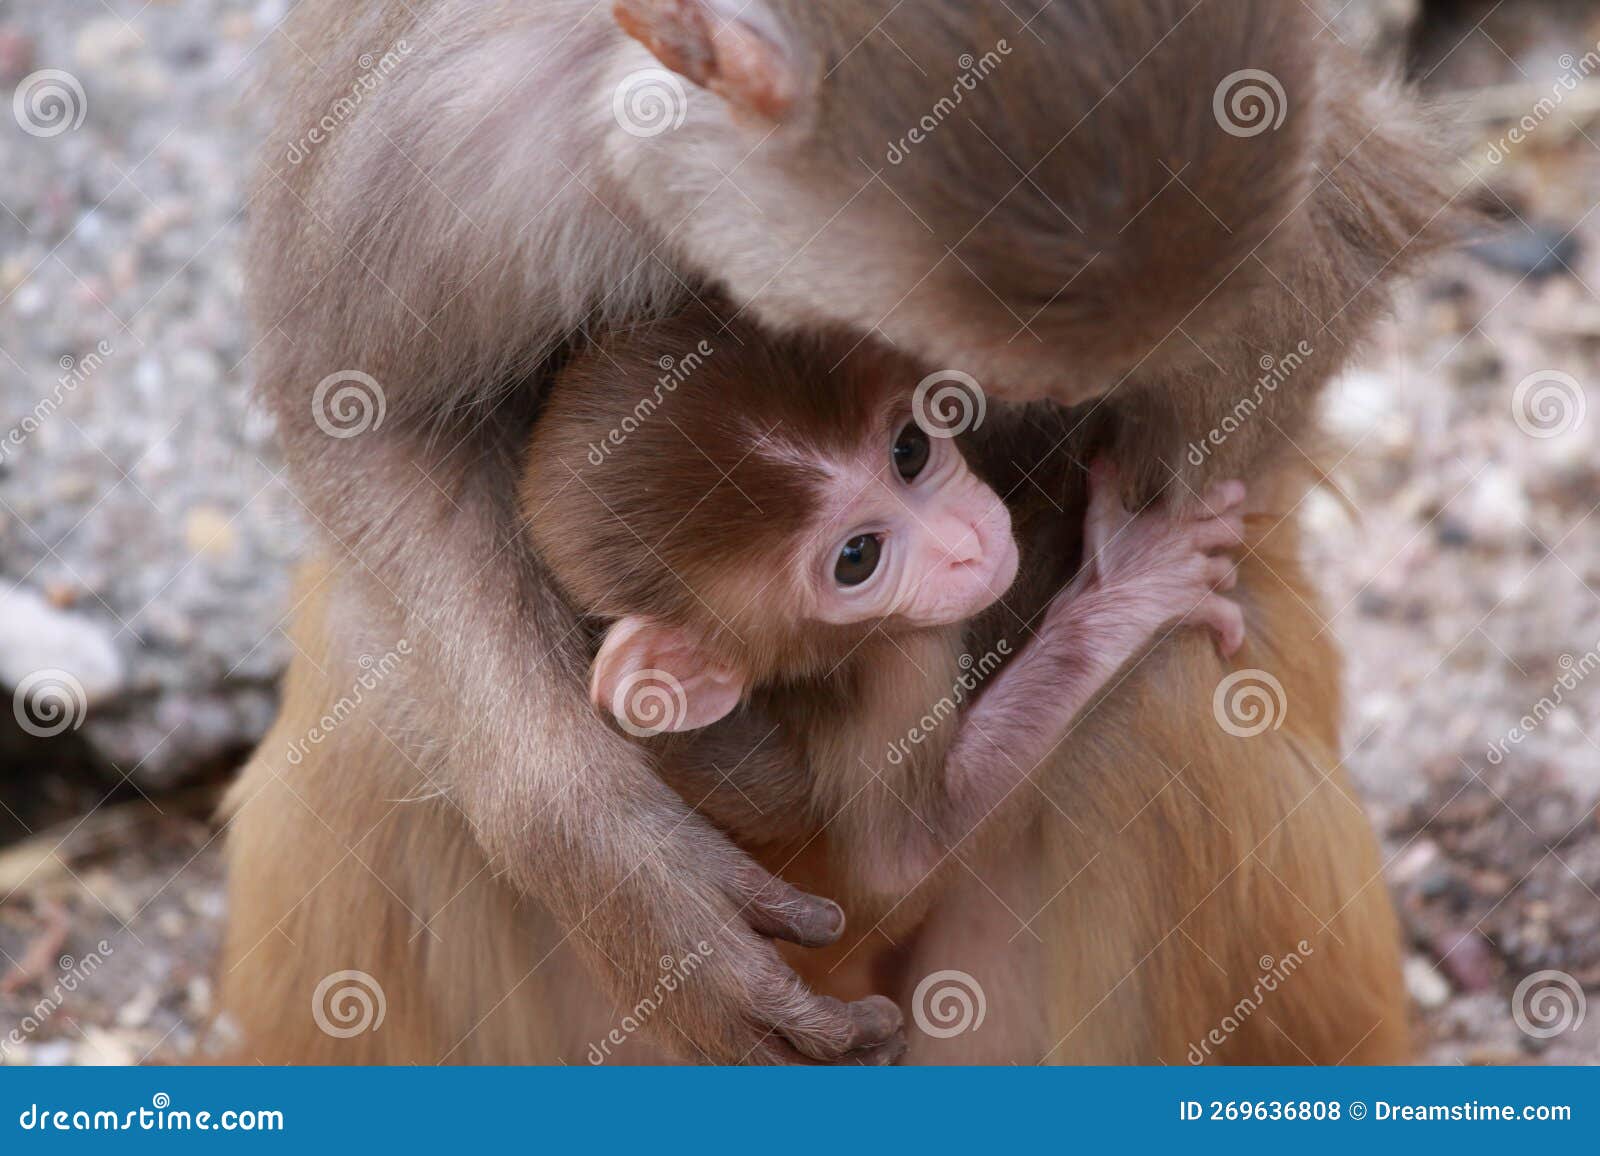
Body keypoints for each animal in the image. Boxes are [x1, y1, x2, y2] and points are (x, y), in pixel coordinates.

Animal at [225, 0, 1471, 1063]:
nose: (970, 542)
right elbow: (365, 414)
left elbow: (1341, 251)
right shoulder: (439, 136)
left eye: (922, 434)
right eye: (858, 554)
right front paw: (613, 865)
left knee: (1165, 693)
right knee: (380, 688)